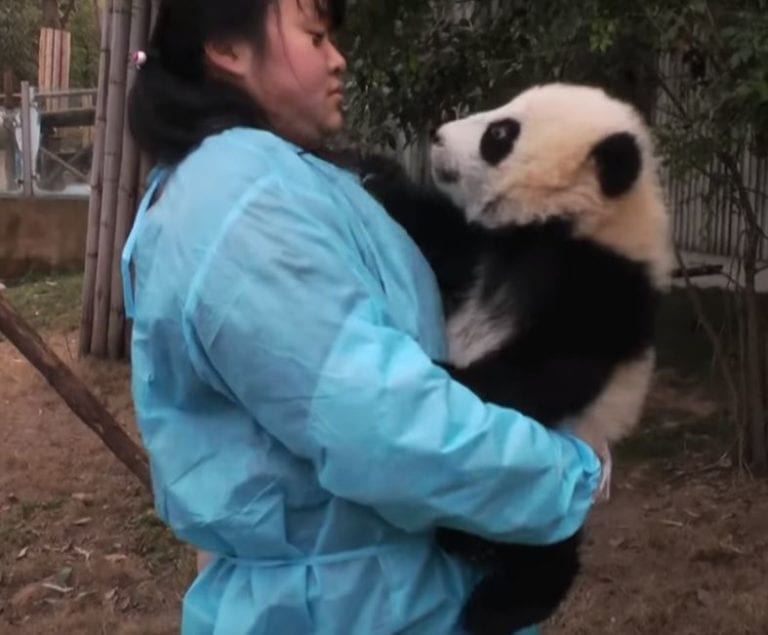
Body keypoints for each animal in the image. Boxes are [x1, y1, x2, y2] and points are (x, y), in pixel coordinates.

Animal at [358, 82, 673, 635]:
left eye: (500, 135)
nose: (437, 135)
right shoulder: (482, 250)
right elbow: (438, 233)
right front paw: (373, 175)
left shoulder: (605, 292)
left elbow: (541, 371)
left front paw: (448, 375)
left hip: (541, 494)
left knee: (543, 550)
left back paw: (500, 602)